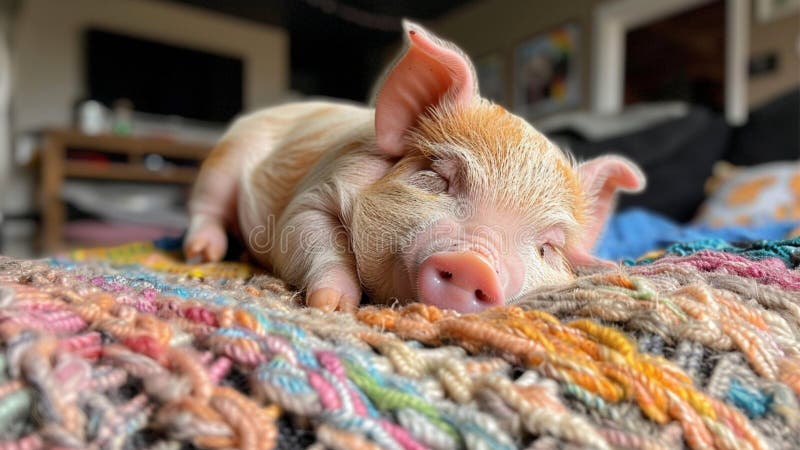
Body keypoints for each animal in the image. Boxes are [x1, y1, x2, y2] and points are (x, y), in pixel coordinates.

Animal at [183, 21, 645, 313]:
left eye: (547, 247)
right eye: (437, 179)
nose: (473, 263)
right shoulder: (316, 192)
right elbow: (313, 235)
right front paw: (333, 305)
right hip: (224, 161)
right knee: (206, 207)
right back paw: (202, 253)